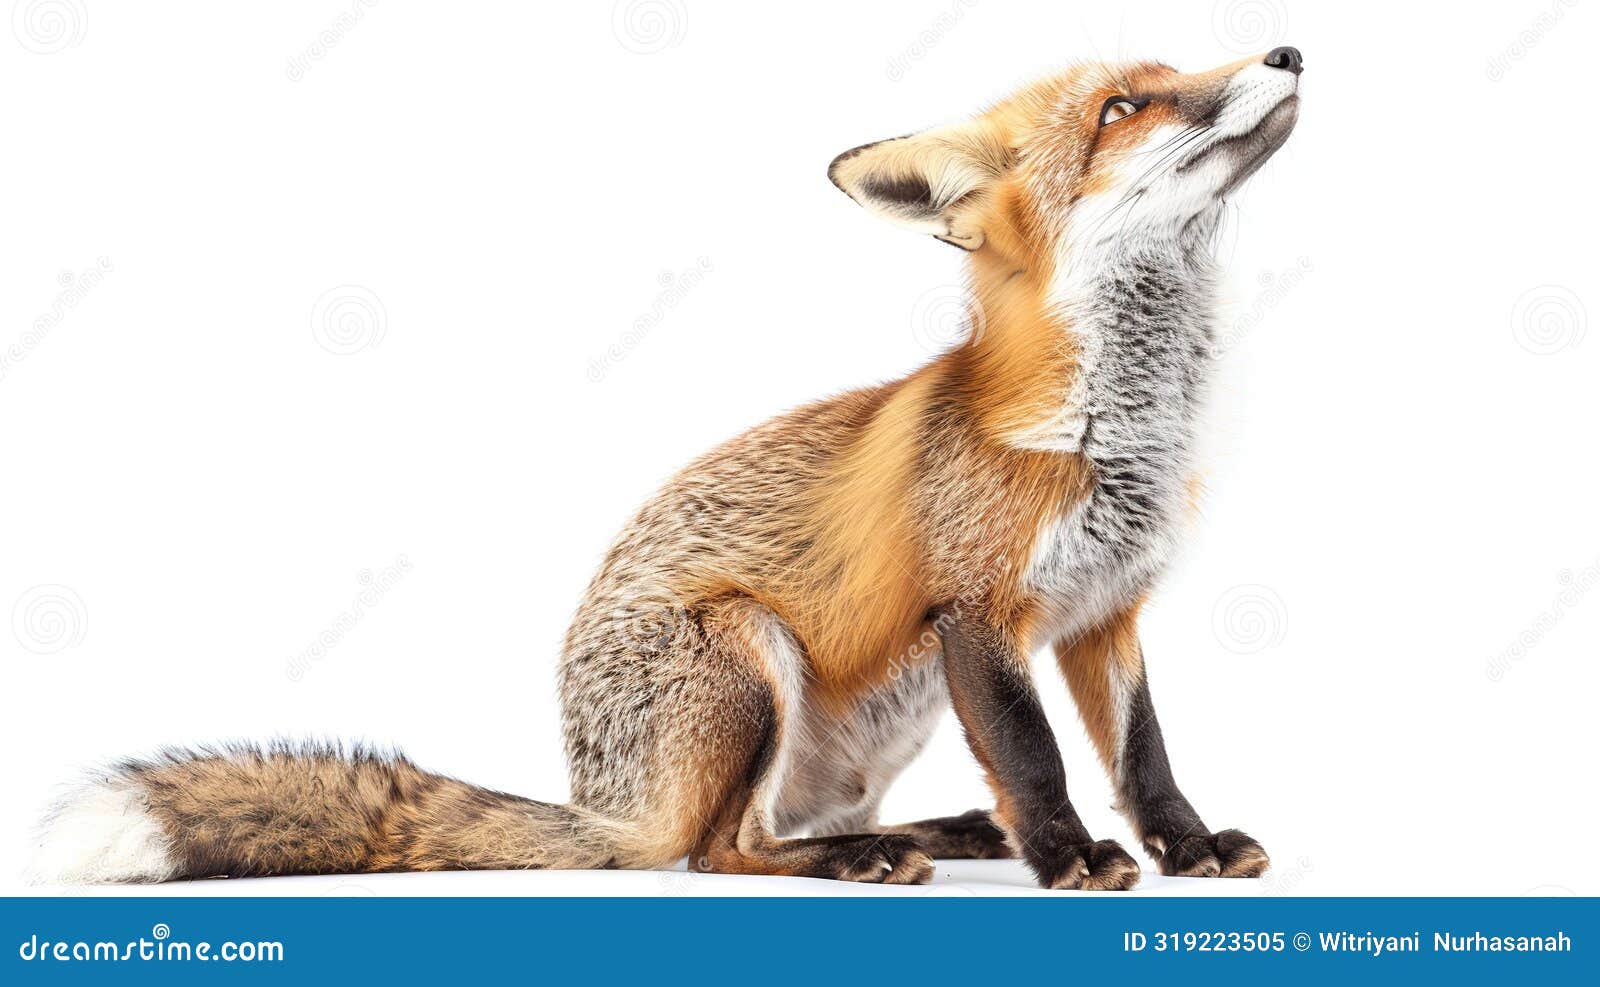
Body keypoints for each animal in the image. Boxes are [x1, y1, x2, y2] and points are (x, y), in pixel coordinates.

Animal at [30, 47, 1303, 891]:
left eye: (1173, 70)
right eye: (1125, 107)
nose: (1285, 49)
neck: (1119, 424)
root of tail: (602, 805)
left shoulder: (1106, 614)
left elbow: (1144, 757)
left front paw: (1188, 845)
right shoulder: (979, 615)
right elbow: (1035, 759)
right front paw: (1070, 858)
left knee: (767, 830)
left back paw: (918, 836)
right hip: (748, 651)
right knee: (714, 852)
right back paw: (859, 858)